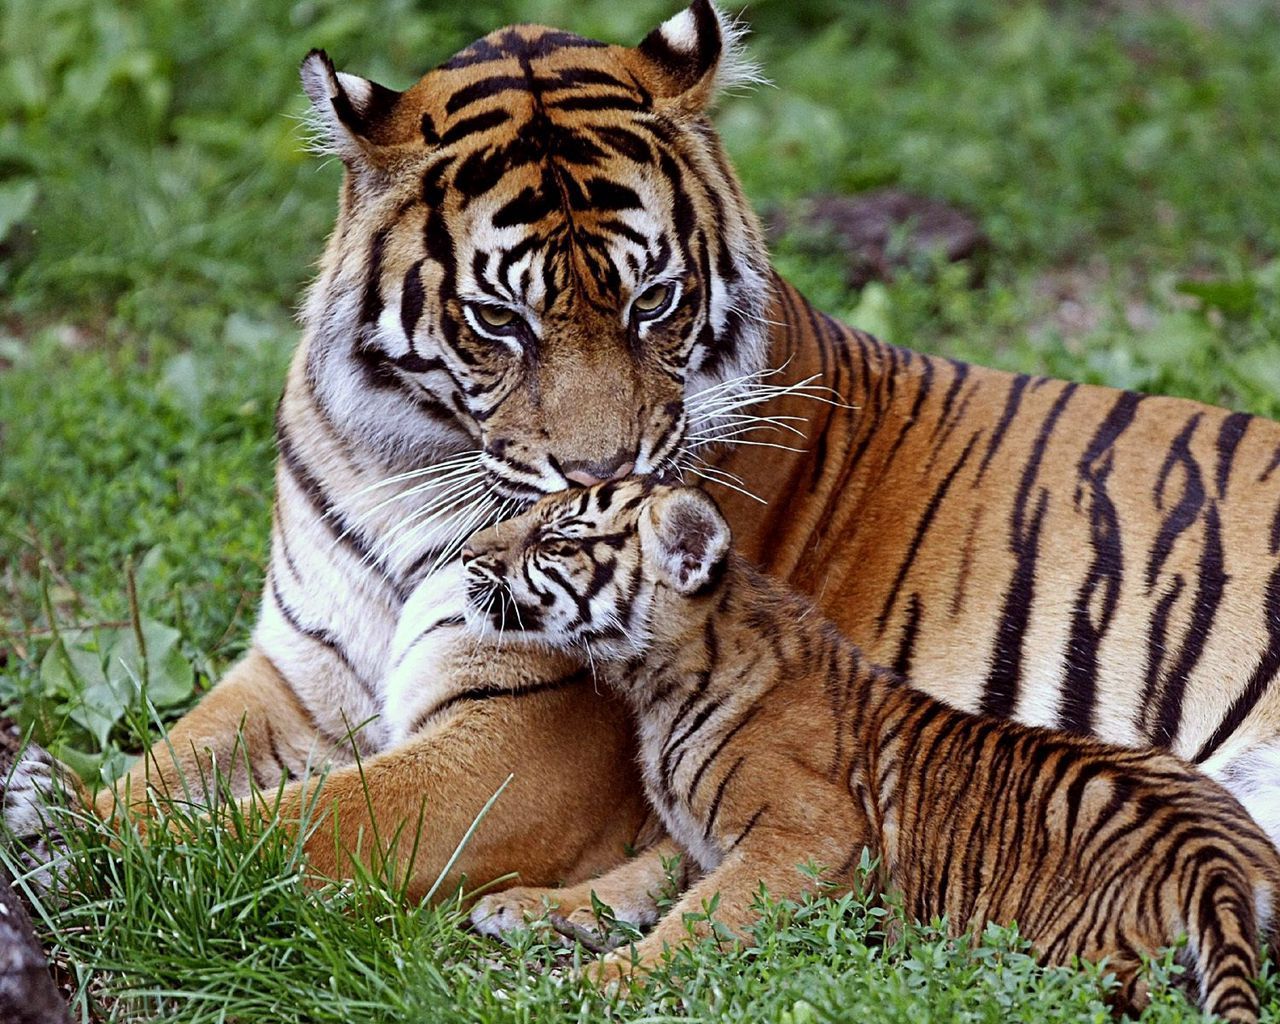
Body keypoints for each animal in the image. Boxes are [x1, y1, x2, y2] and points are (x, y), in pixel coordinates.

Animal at [4, 1, 1280, 910]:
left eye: (652, 301)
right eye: (500, 320)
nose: (597, 475)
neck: (402, 467)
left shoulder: (524, 739)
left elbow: (279, 823)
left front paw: (74, 855)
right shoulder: (296, 670)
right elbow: (165, 768)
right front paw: (51, 801)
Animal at [462, 478, 1280, 1021]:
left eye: (555, 541)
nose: (469, 554)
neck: (657, 684)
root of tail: (1214, 863)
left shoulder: (807, 835)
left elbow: (693, 920)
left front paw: (579, 985)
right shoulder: (697, 838)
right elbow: (629, 882)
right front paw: (519, 906)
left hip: (1064, 961)